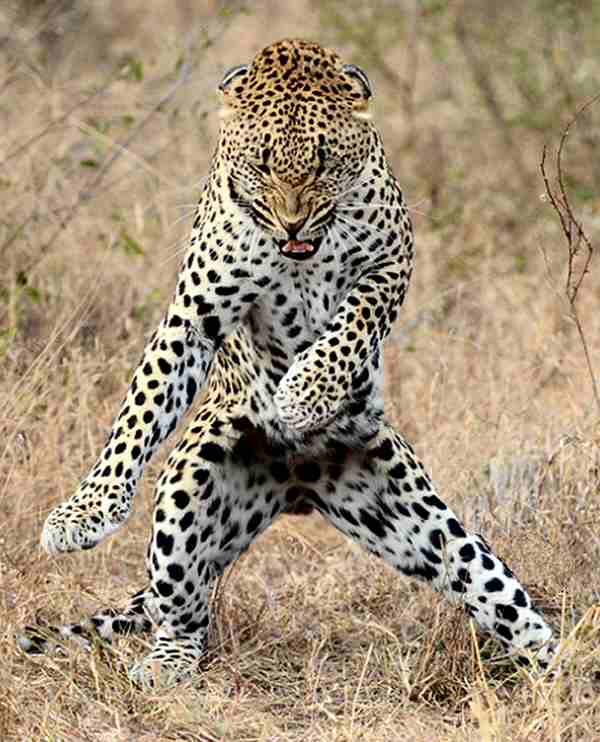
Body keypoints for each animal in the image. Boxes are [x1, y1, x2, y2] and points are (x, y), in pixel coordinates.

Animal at [17, 38, 558, 688]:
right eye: (262, 164)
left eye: (324, 163)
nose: (293, 221)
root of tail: (297, 486)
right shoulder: (196, 311)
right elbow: (141, 409)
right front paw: (84, 512)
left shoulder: (393, 261)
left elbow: (352, 321)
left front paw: (304, 392)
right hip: (186, 493)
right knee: (183, 606)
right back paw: (167, 664)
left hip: (418, 522)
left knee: (491, 587)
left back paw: (557, 666)